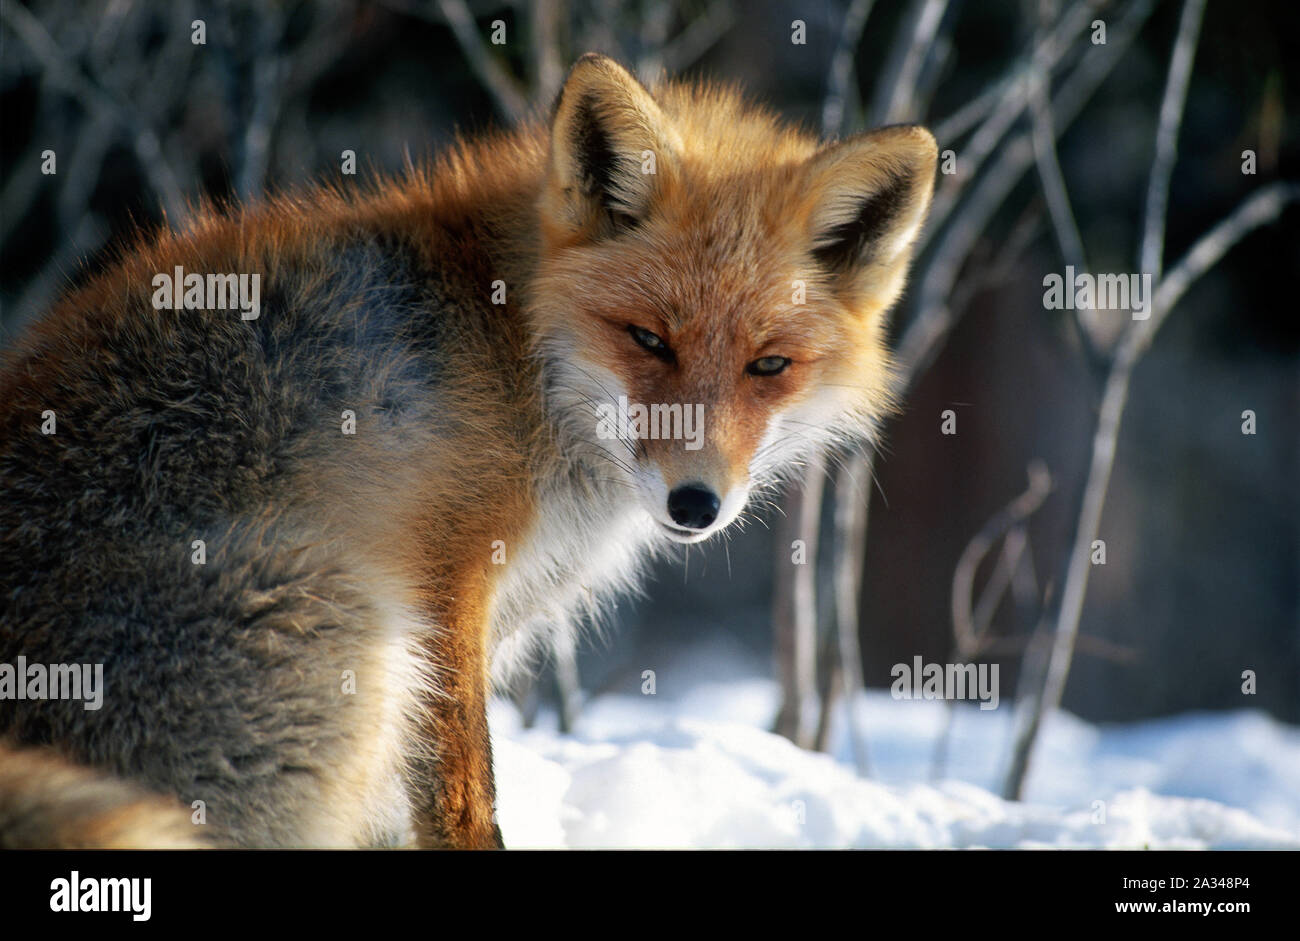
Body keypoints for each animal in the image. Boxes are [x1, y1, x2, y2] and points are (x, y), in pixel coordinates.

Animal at [0, 53, 936, 848]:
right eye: (649, 339)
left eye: (768, 365)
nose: (695, 504)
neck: (515, 346)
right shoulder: (443, 584)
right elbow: (464, 797)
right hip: (345, 615)